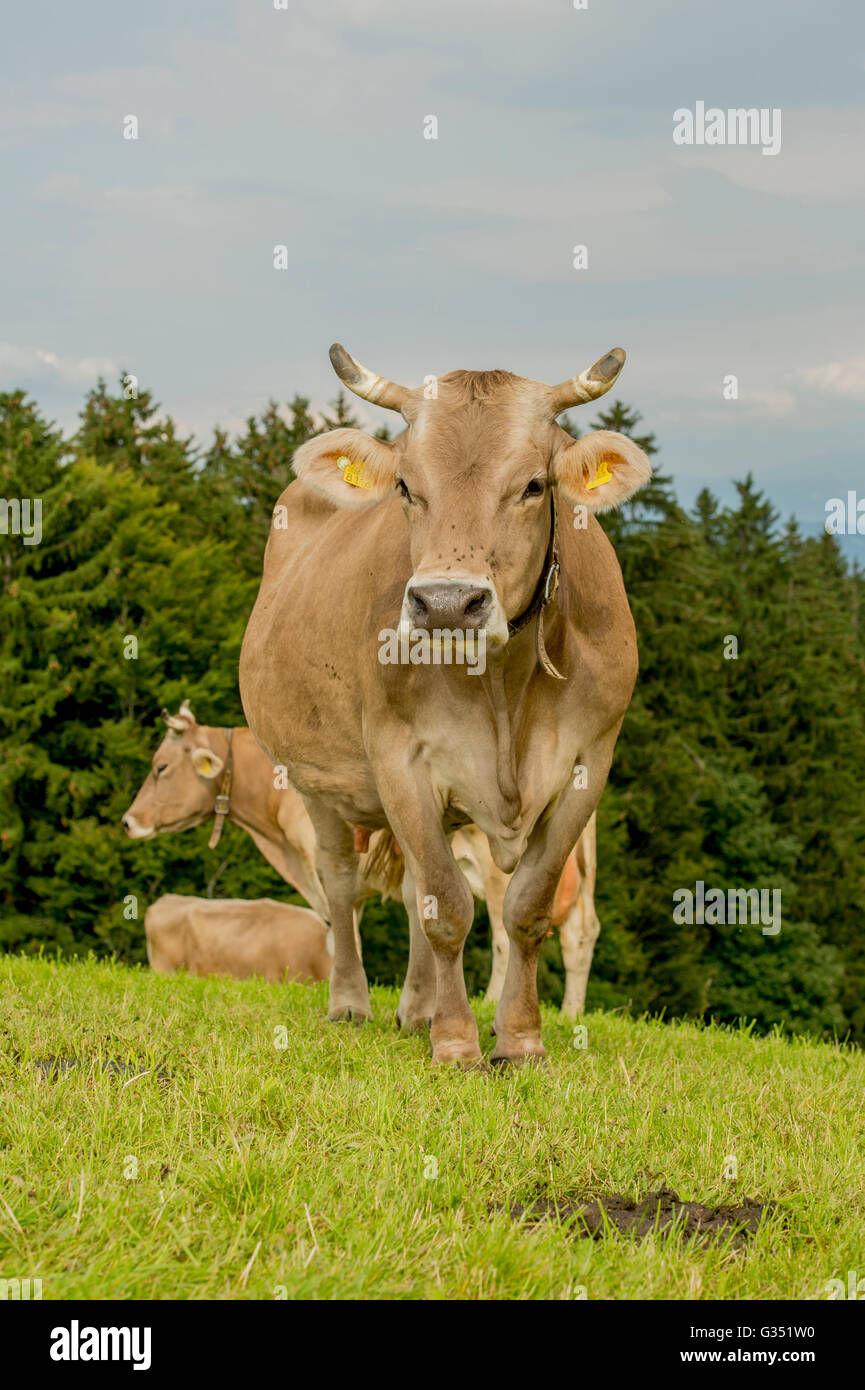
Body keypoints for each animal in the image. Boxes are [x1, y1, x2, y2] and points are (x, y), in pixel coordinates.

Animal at [239, 342, 650, 1066]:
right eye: (406, 487)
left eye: (534, 486)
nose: (447, 603)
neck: (503, 687)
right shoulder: (398, 759)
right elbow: (446, 906)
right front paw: (457, 1043)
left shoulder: (587, 766)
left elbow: (526, 908)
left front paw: (520, 1040)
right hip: (315, 781)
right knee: (342, 884)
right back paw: (353, 1004)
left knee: (407, 893)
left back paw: (416, 1009)